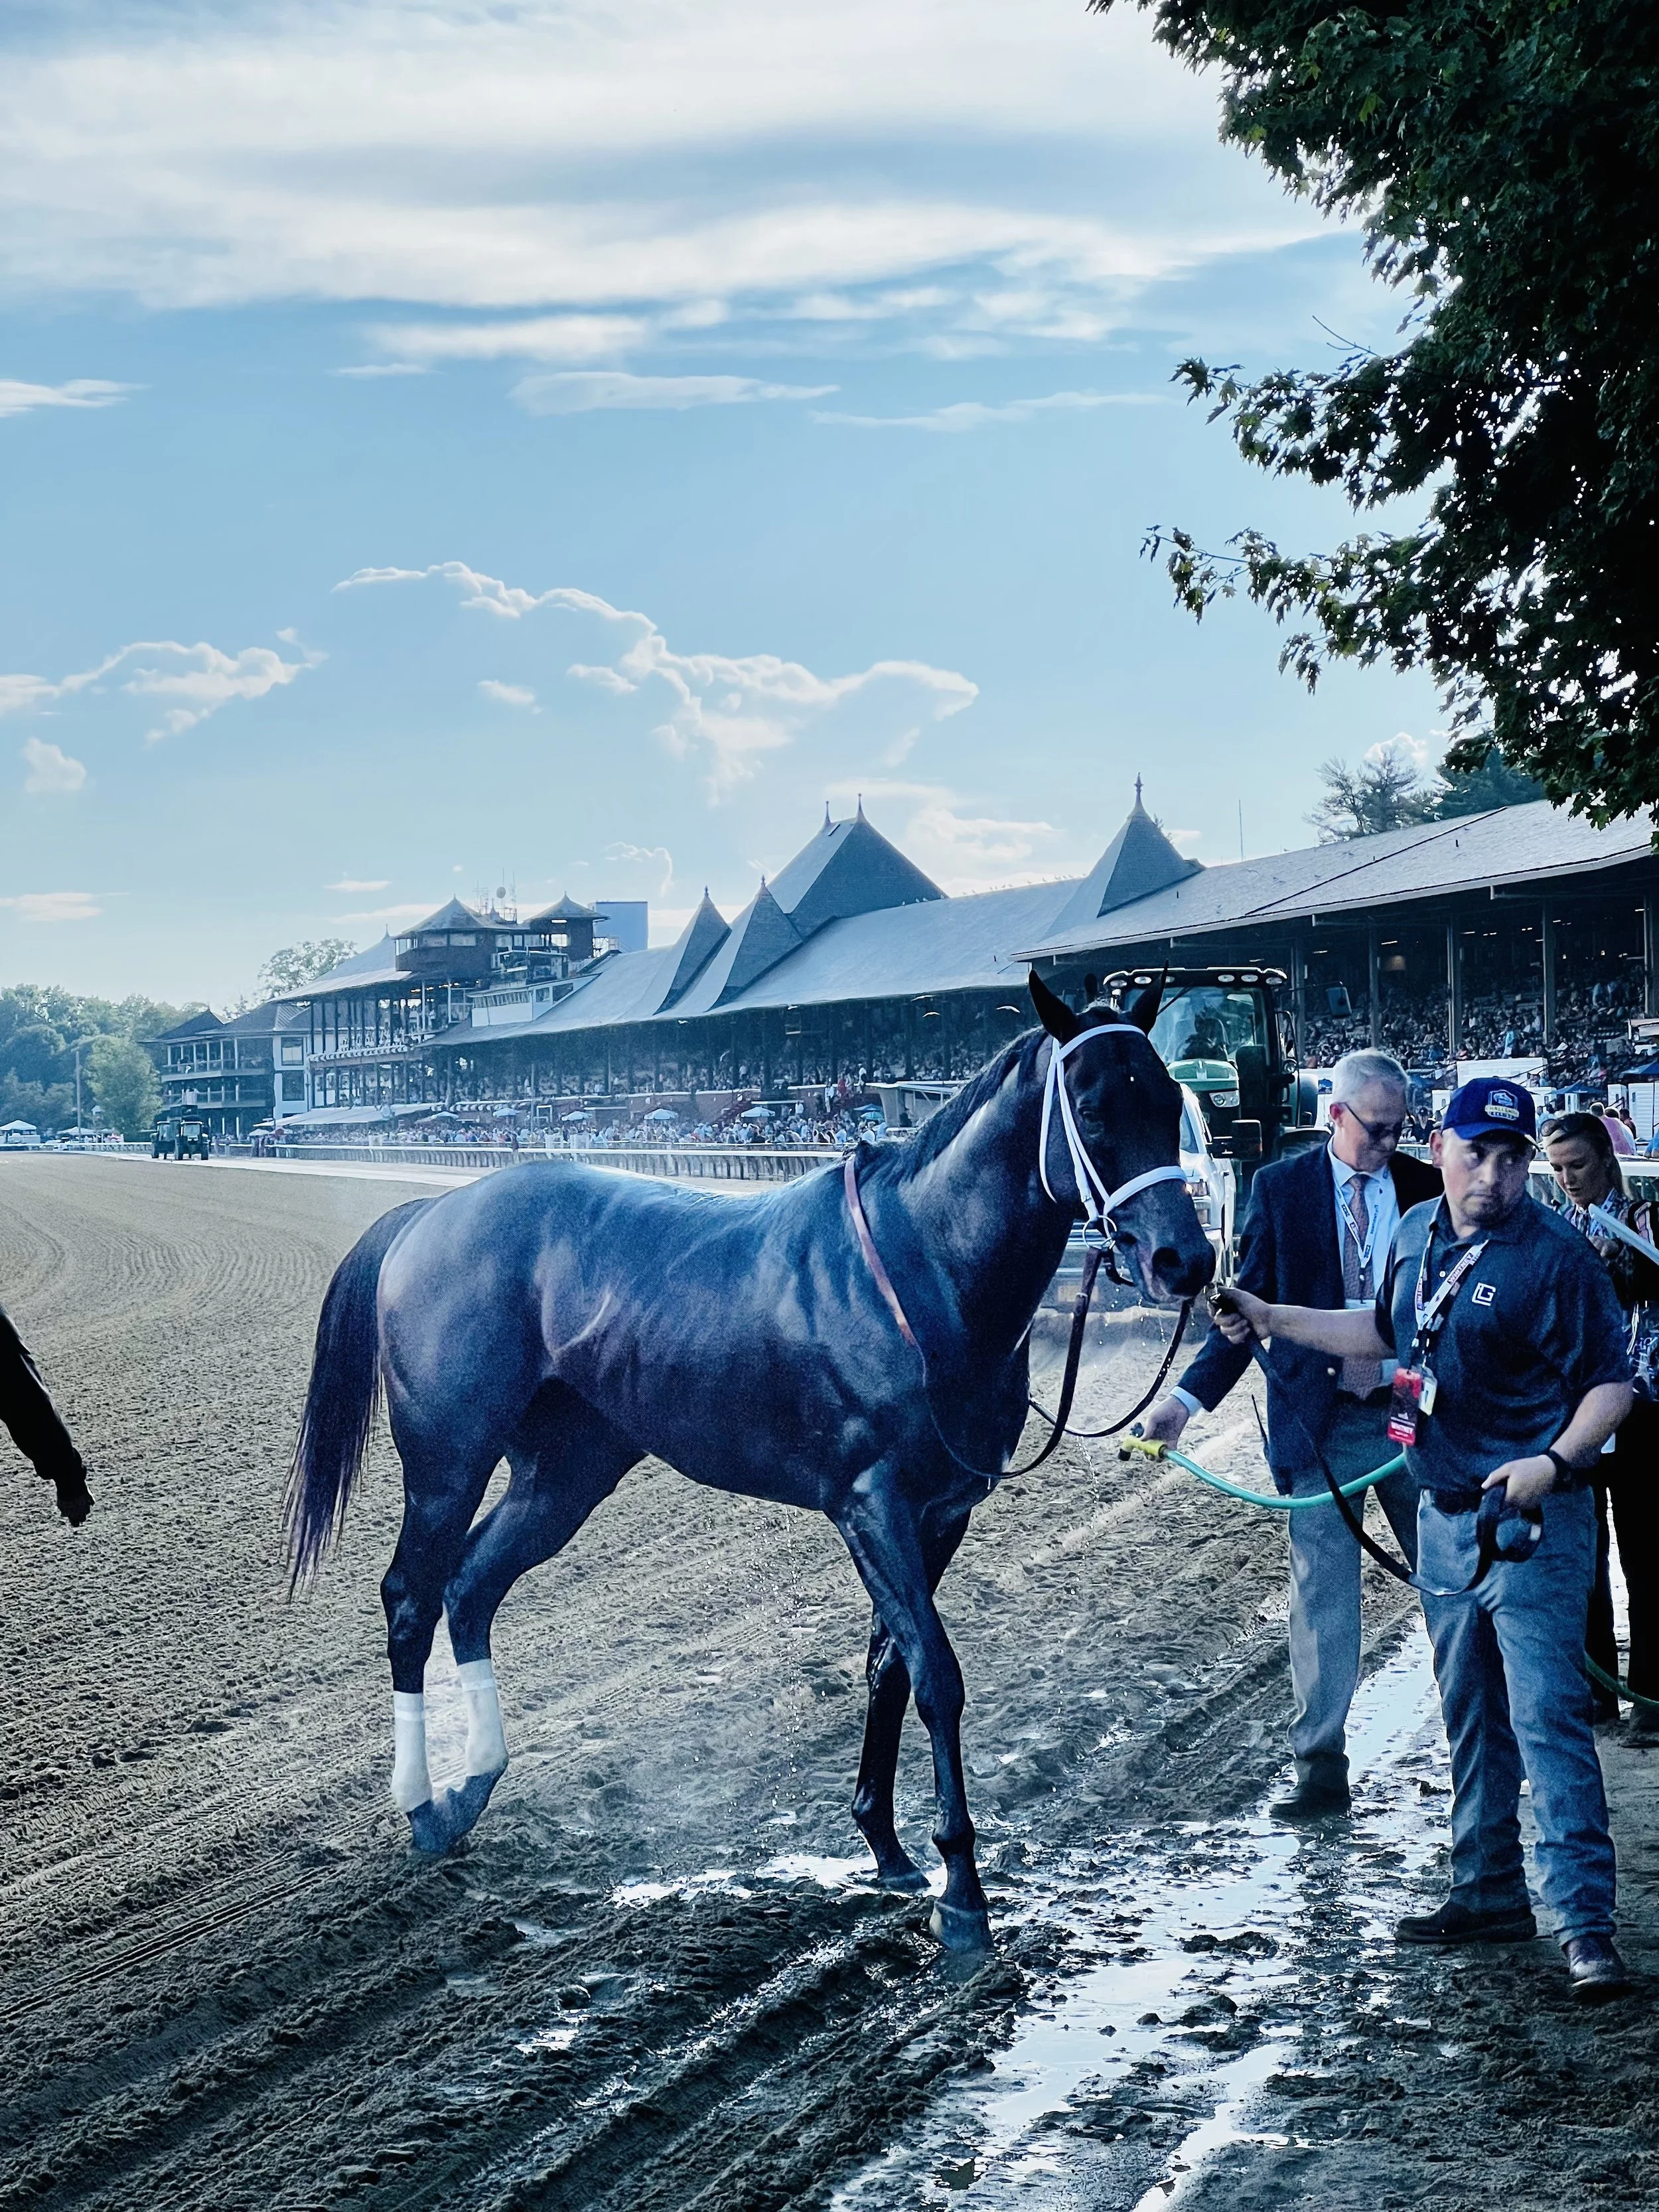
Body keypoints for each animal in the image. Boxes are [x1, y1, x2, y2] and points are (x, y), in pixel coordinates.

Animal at [285, 973, 1214, 1949]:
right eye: (1094, 1107)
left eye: (1171, 1102)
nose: (1184, 1258)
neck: (922, 1272)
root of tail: (430, 1213)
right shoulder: (870, 1505)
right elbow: (936, 1674)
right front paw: (962, 1893)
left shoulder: (941, 1513)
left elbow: (891, 1662)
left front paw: (888, 1850)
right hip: (447, 1461)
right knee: (410, 1598)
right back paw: (423, 1805)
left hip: (564, 1473)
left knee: (471, 1588)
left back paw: (473, 1786)